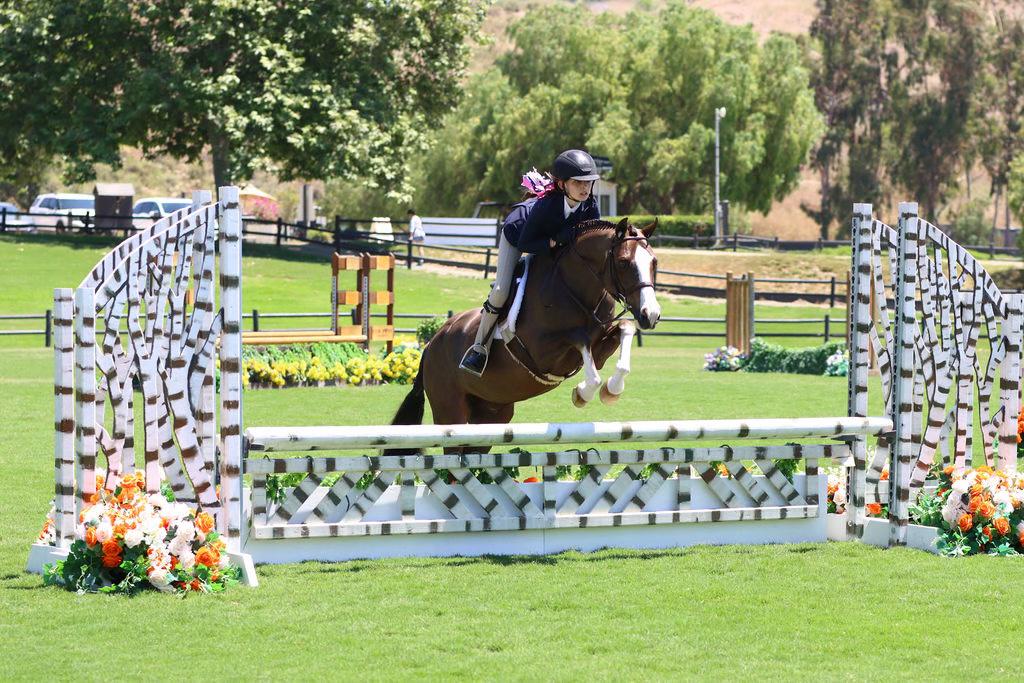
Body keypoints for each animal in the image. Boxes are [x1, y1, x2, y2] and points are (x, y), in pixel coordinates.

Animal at [390, 218, 661, 452]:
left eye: (654, 262)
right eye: (623, 262)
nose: (651, 314)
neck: (574, 290)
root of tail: (430, 346)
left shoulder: (601, 344)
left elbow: (625, 329)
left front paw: (611, 390)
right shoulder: (544, 352)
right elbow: (579, 339)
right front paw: (582, 393)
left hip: (492, 416)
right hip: (450, 410)